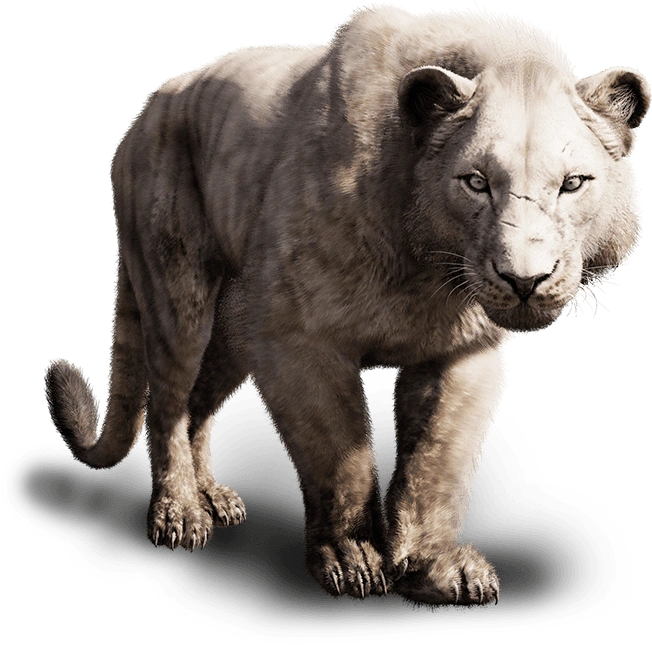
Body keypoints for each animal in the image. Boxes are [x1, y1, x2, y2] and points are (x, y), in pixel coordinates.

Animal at [46, 4, 650, 605]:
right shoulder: (295, 335)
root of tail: (150, 109)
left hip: (234, 326)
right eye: (476, 182)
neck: (426, 267)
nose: (525, 279)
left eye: (572, 184)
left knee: (198, 405)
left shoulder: (464, 352)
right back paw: (180, 515)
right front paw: (348, 558)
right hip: (179, 291)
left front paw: (432, 567)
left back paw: (214, 497)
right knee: (169, 403)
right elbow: (343, 457)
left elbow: (439, 465)